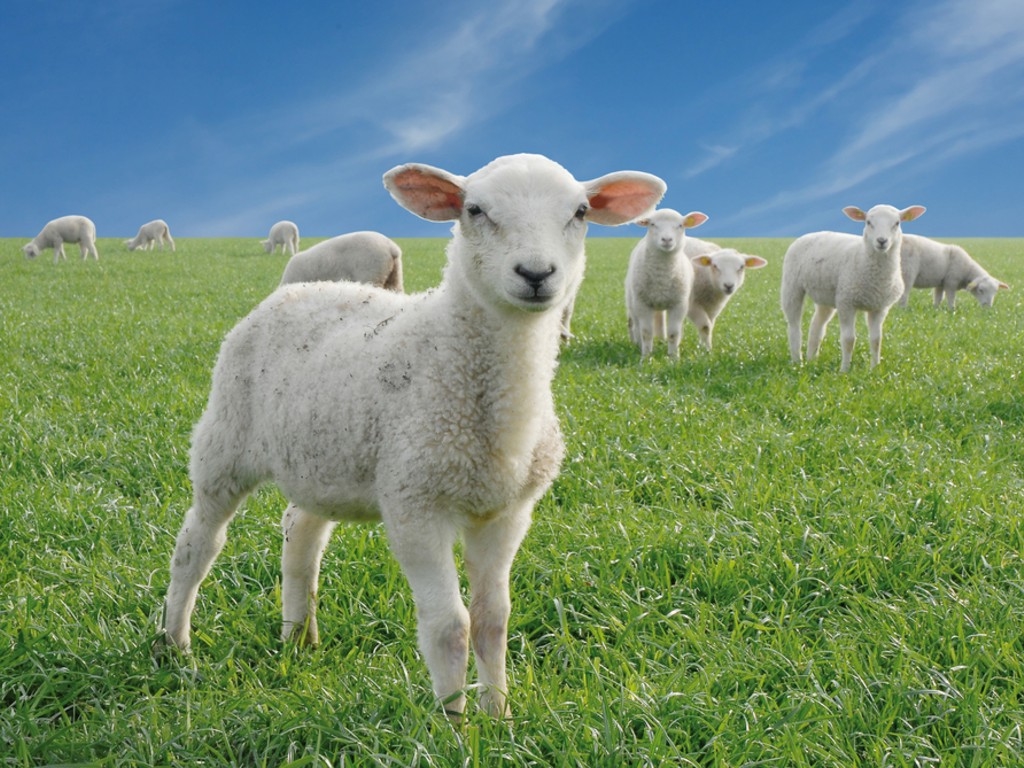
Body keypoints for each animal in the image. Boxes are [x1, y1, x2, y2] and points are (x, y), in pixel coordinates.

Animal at [161, 153, 666, 718]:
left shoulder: (508, 513)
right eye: (474, 210)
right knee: (197, 543)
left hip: (322, 458)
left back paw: (298, 637)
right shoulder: (415, 507)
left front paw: (499, 714)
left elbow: (492, 619)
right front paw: (454, 721)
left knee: (300, 531)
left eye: (580, 212)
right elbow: (449, 626)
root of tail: (292, 290)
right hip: (225, 441)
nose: (536, 274)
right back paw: (175, 642)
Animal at [624, 208, 708, 358]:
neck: (662, 278)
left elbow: (673, 334)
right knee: (636, 325)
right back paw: (638, 345)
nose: (667, 239)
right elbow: (646, 333)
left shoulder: (678, 305)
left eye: (680, 225)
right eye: (652, 224)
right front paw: (646, 358)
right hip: (632, 301)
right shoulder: (642, 304)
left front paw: (674, 358)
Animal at [781, 204, 926, 372]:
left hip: (826, 295)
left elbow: (877, 339)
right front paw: (844, 370)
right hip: (792, 285)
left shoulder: (880, 307)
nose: (882, 241)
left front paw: (874, 369)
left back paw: (811, 360)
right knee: (794, 325)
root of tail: (809, 234)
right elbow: (849, 339)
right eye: (868, 222)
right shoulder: (846, 302)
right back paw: (797, 361)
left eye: (897, 223)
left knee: (817, 326)